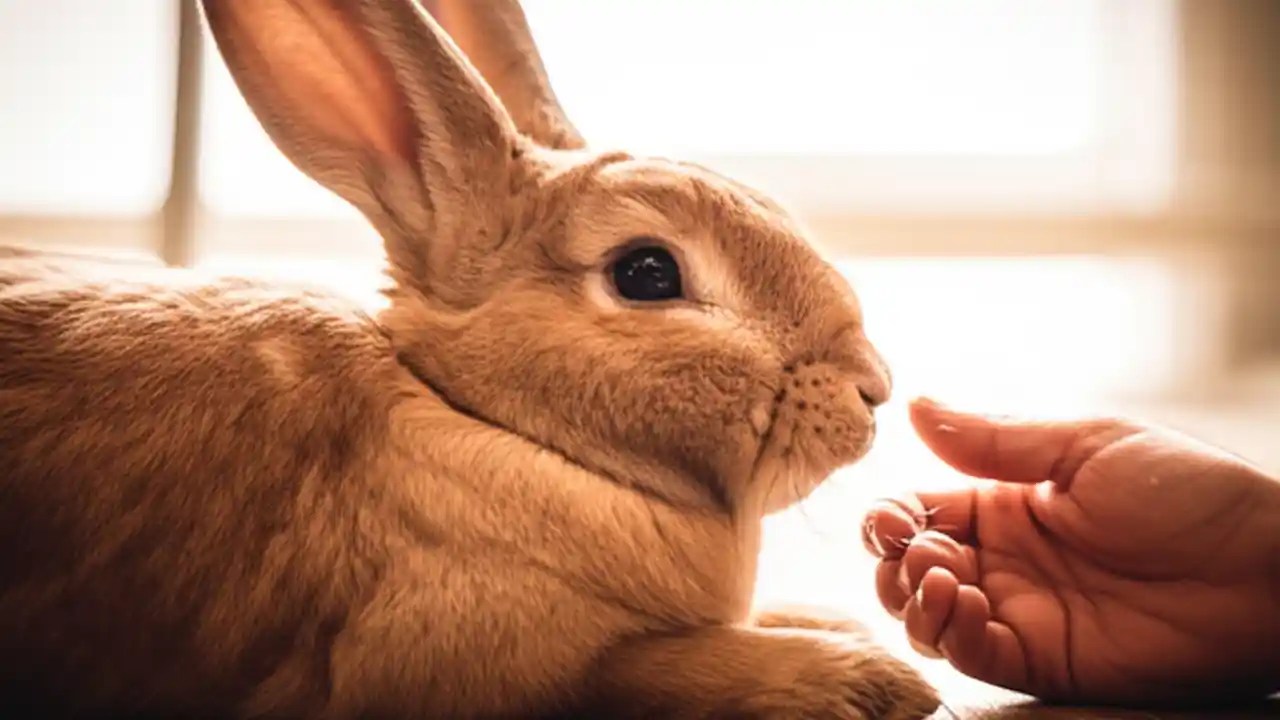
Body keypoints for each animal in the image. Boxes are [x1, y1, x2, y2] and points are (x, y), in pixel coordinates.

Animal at [0, 0, 941, 718]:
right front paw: (862, 679)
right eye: (646, 273)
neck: (484, 421)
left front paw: (833, 626)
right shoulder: (464, 666)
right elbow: (658, 667)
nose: (873, 386)